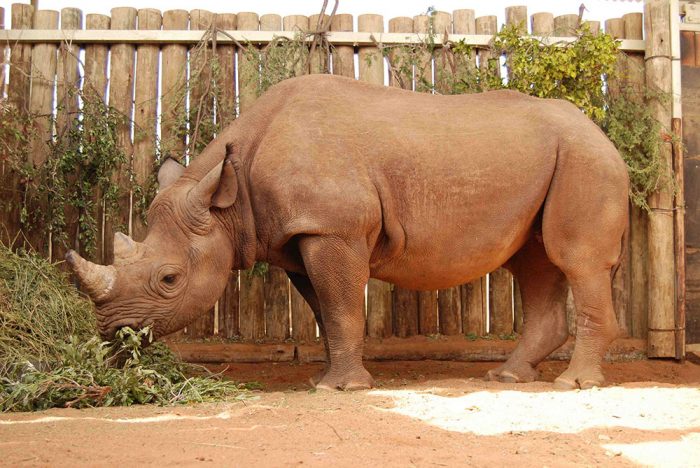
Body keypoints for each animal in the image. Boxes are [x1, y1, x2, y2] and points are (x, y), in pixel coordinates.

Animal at [67, 74, 629, 391]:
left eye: (168, 280)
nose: (113, 335)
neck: (228, 201)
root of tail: (605, 134)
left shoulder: (331, 228)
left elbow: (339, 306)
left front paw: (342, 390)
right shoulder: (299, 237)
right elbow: (326, 310)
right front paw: (328, 380)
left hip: (584, 157)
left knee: (574, 259)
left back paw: (574, 385)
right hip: (556, 158)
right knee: (534, 263)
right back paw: (508, 377)